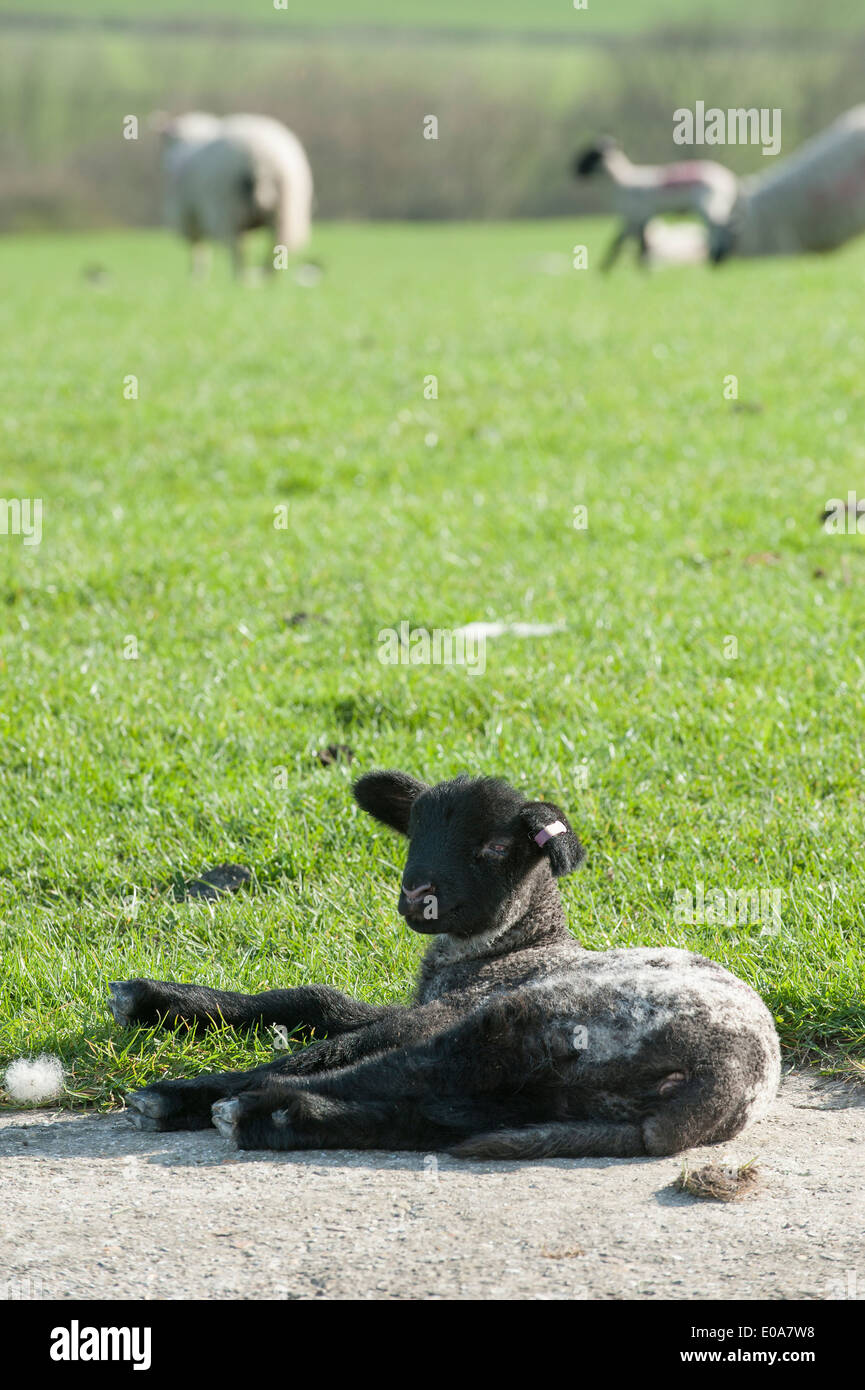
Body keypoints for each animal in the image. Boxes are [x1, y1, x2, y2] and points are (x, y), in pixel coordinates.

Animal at [109, 771, 780, 1158]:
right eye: (411, 834)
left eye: (496, 847)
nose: (416, 896)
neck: (514, 945)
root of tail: (727, 1083)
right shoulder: (423, 1001)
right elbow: (317, 1000)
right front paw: (149, 998)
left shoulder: (449, 1009)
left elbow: (330, 1046)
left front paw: (181, 1088)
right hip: (546, 1096)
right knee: (424, 1114)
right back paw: (281, 1119)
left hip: (530, 1027)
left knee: (395, 1074)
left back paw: (242, 1108)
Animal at [155, 112, 313, 278]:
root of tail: (258, 155)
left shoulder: (190, 217)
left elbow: (198, 248)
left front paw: (197, 276)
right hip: (283, 212)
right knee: (274, 245)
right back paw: (267, 276)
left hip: (230, 210)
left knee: (237, 248)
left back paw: (240, 277)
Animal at [573, 137, 740, 269]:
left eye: (591, 155)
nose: (575, 170)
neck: (622, 182)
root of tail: (729, 178)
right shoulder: (635, 219)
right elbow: (625, 244)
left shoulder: (635, 217)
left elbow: (626, 245)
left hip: (709, 205)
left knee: (719, 227)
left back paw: (717, 259)